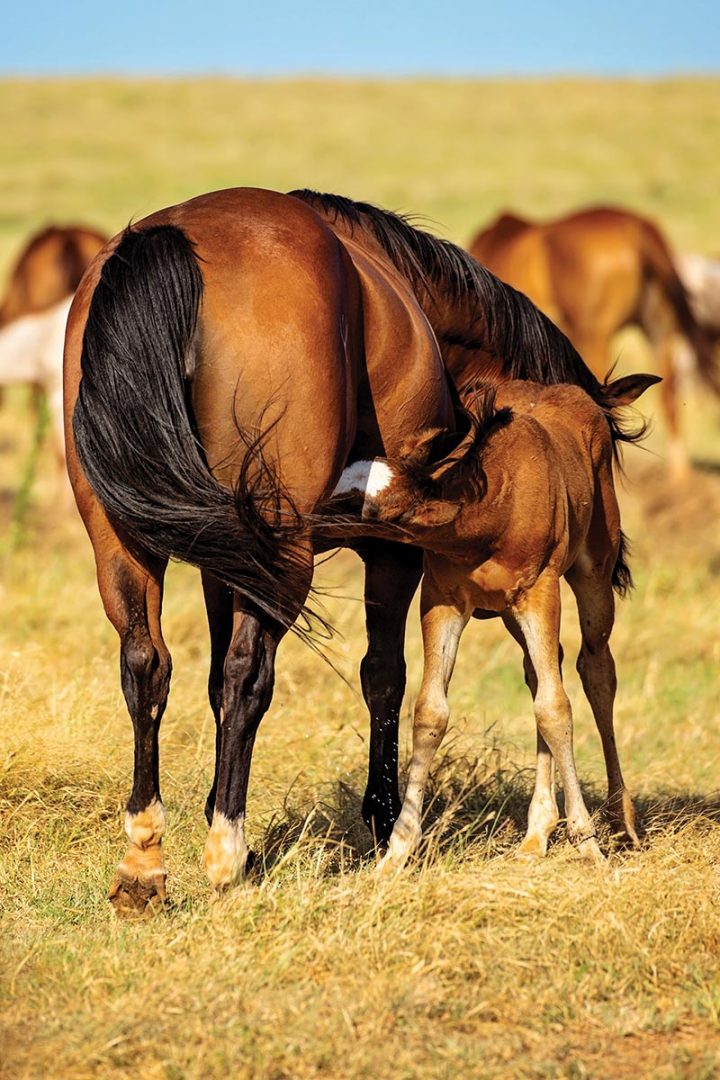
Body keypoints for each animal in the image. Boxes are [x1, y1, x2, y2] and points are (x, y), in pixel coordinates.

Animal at [332, 373, 659, 871]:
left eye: (356, 501)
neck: (494, 506)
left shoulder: (540, 593)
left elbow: (556, 709)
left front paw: (586, 839)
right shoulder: (444, 600)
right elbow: (431, 710)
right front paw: (398, 849)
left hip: (592, 575)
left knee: (595, 669)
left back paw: (621, 822)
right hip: (509, 614)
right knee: (541, 670)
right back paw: (538, 831)